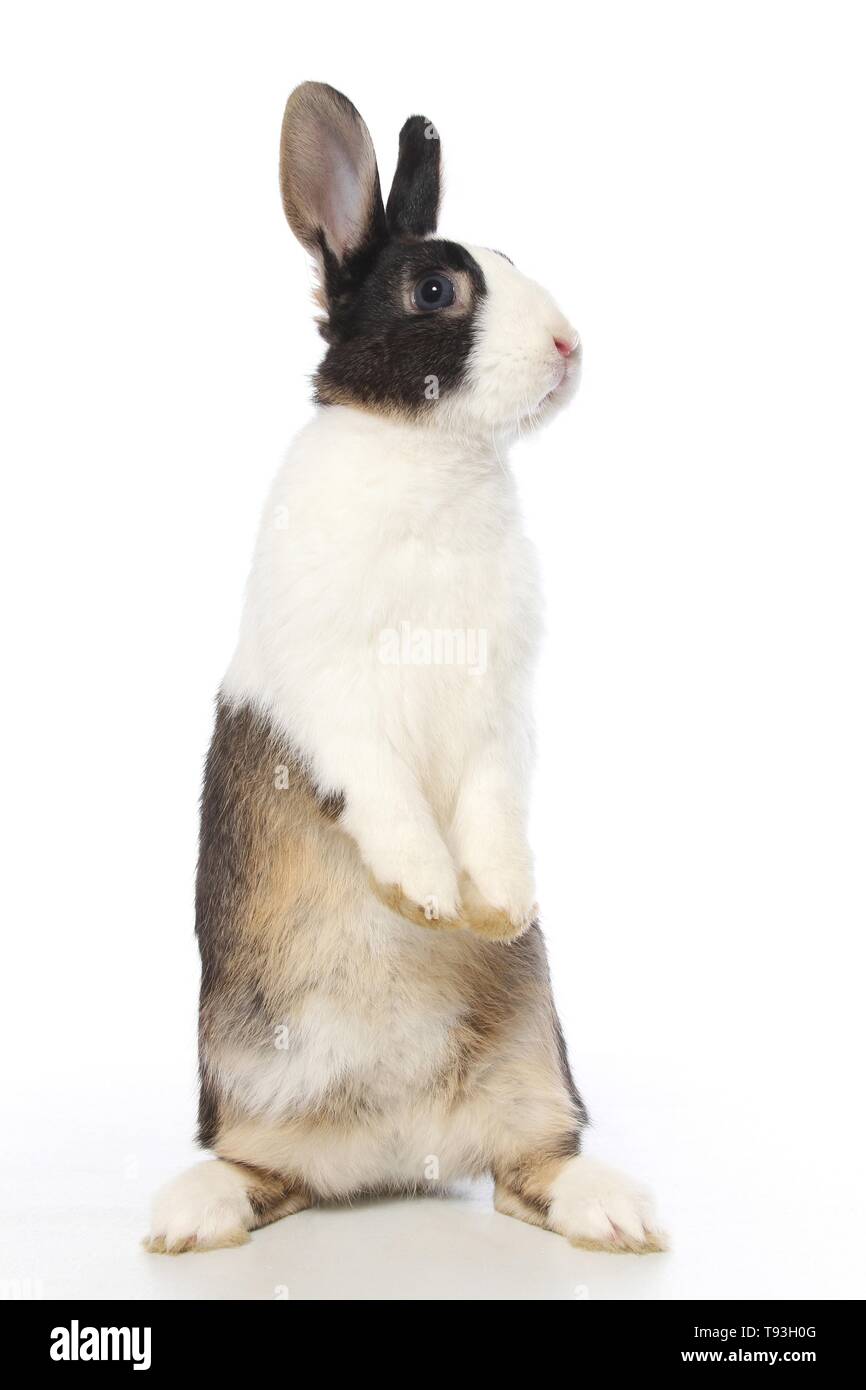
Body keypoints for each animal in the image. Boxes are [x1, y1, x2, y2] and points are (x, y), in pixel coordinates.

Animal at [146, 81, 665, 1257]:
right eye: (436, 289)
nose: (569, 343)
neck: (433, 451)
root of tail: (393, 1153)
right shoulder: (335, 700)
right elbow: (387, 799)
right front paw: (426, 897)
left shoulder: (499, 717)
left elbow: (489, 808)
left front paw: (496, 908)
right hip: (239, 1089)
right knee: (257, 1170)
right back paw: (186, 1217)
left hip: (532, 1069)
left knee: (533, 1169)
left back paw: (617, 1214)